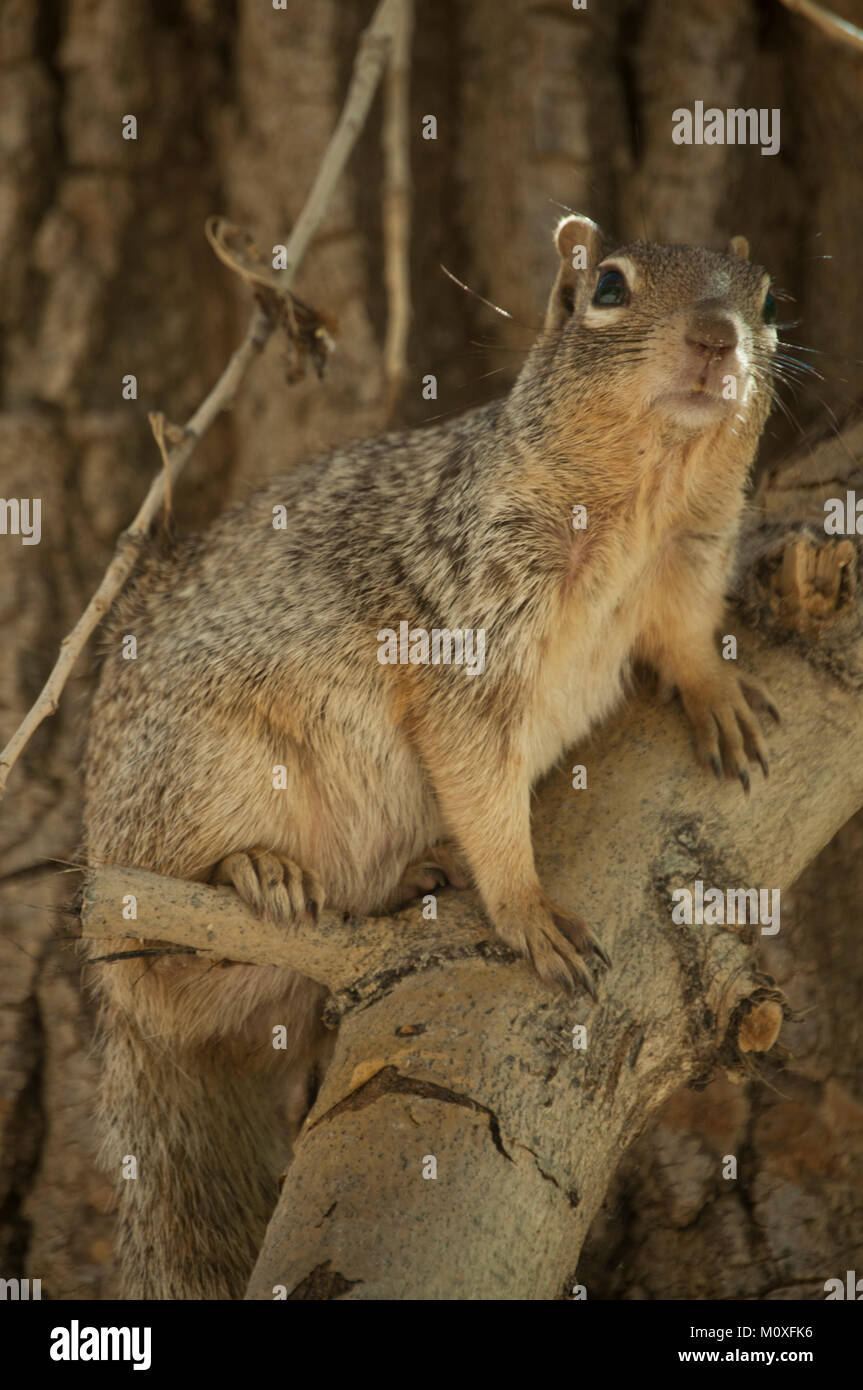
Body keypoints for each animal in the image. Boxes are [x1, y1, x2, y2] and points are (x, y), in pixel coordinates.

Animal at [83, 214, 779, 1299]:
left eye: (765, 298)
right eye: (607, 288)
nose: (716, 339)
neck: (641, 507)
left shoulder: (685, 566)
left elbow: (683, 640)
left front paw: (716, 695)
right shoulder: (465, 627)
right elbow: (476, 774)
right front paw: (527, 909)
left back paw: (407, 873)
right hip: (194, 781)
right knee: (168, 954)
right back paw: (259, 872)